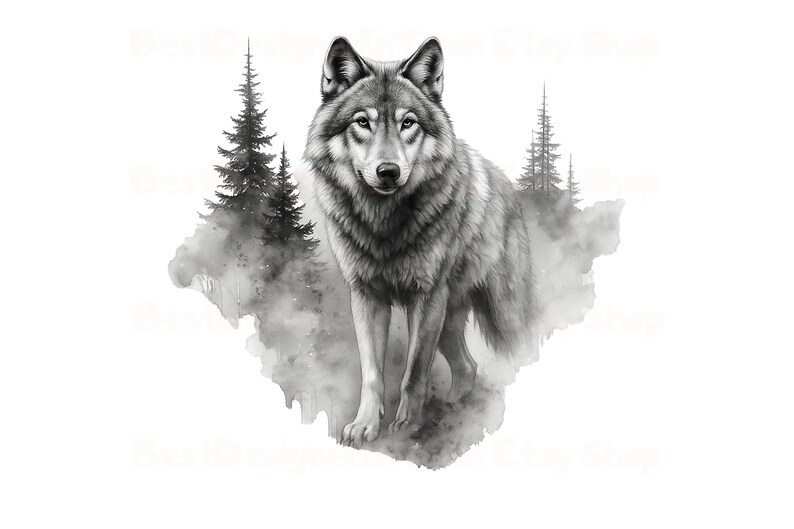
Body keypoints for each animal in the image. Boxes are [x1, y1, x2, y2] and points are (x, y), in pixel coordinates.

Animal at [304, 37, 536, 447]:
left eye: (407, 122)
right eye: (362, 122)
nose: (388, 171)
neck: (383, 225)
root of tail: (507, 187)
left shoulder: (426, 298)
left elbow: (413, 374)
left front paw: (407, 427)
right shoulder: (366, 297)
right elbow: (372, 373)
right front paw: (365, 425)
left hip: (498, 315)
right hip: (448, 319)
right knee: (468, 366)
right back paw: (457, 411)